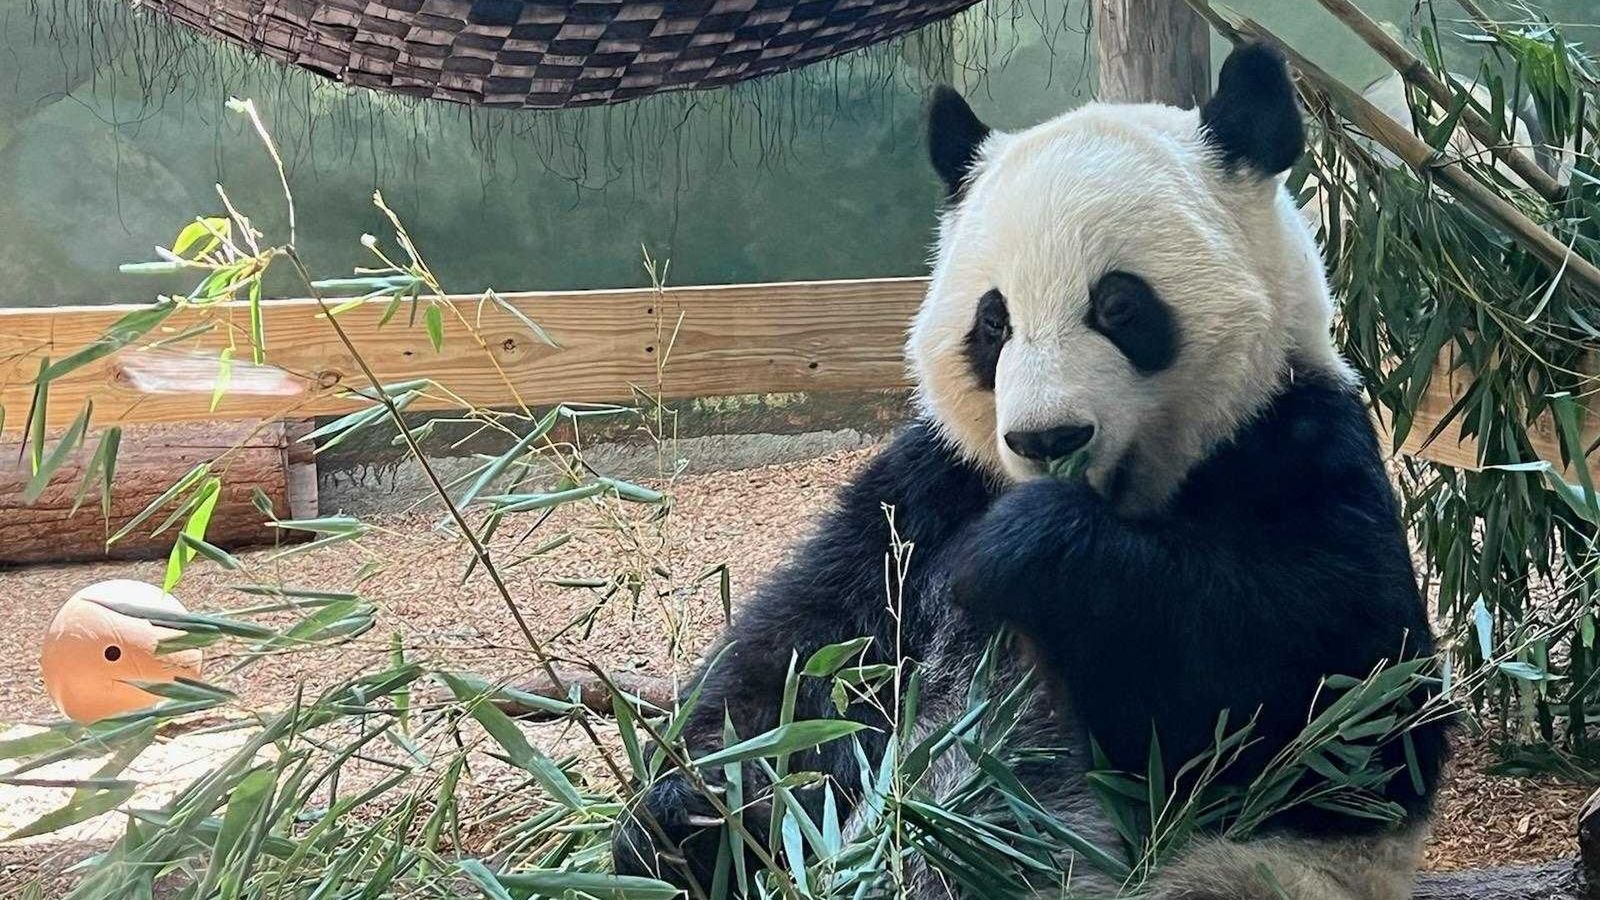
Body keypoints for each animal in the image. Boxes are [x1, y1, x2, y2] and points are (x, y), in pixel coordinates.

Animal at [613, 43, 1447, 899]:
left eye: (1118, 306)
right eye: (993, 322)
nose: (1049, 438)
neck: (1121, 491)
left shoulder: (1296, 441)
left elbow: (1337, 700)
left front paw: (1028, 550)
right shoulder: (932, 485)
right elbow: (803, 654)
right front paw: (692, 809)